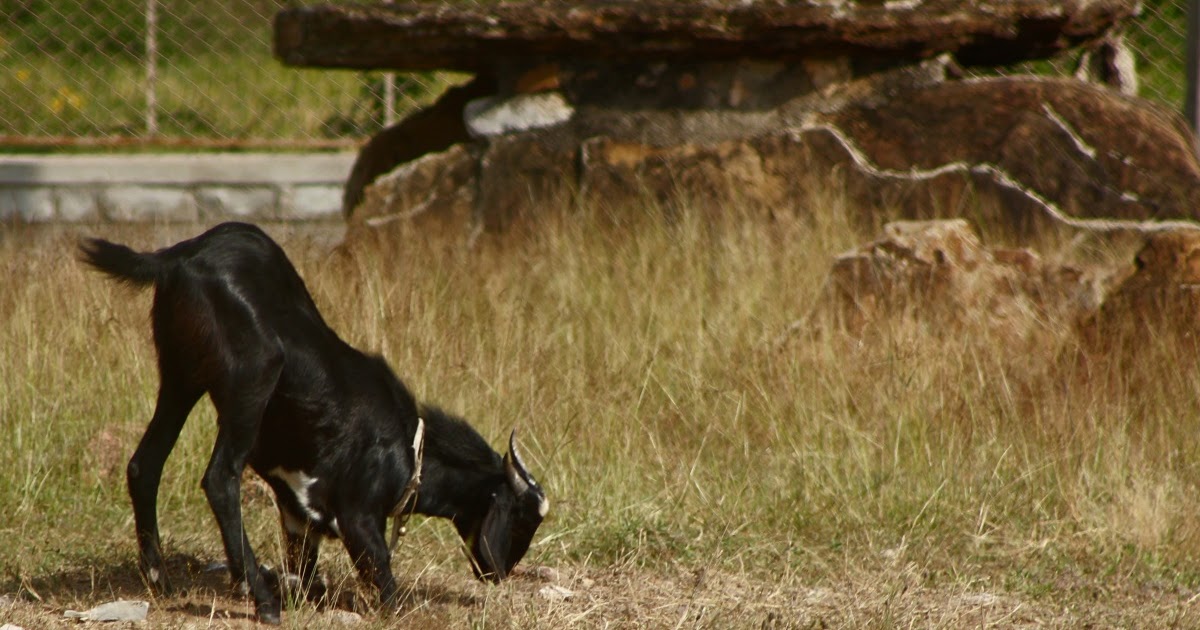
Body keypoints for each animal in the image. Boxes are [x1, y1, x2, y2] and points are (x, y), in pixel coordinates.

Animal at [79, 222, 548, 624]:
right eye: (523, 518)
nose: (498, 573)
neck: (410, 451)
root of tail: (179, 257)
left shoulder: (299, 517)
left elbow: (307, 574)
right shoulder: (359, 516)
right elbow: (384, 578)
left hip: (180, 374)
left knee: (145, 464)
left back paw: (161, 579)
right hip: (254, 376)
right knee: (219, 478)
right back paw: (263, 602)